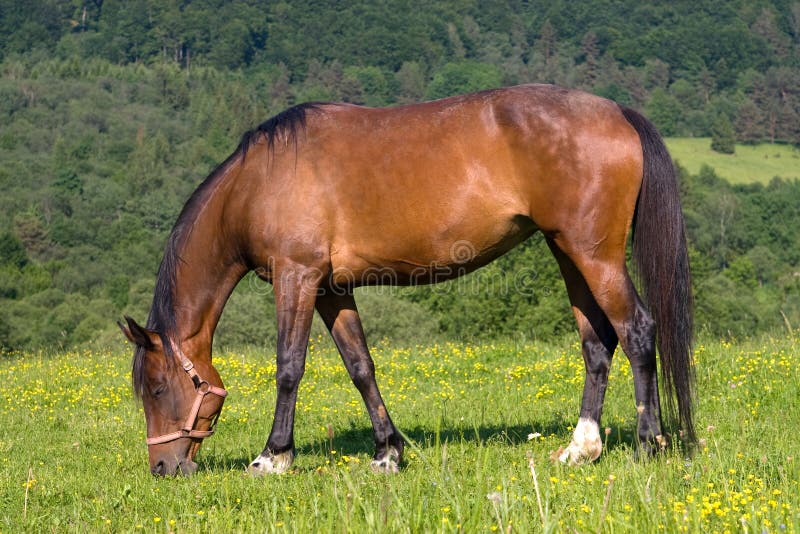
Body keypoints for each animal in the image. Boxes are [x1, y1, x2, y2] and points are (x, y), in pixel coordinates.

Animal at [118, 83, 695, 476]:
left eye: (157, 387)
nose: (164, 468)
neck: (258, 179)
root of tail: (617, 112)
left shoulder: (296, 277)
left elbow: (289, 367)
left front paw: (274, 456)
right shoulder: (331, 289)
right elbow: (360, 367)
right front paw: (387, 451)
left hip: (594, 256)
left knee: (637, 331)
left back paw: (649, 443)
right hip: (568, 252)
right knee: (597, 343)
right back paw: (582, 448)